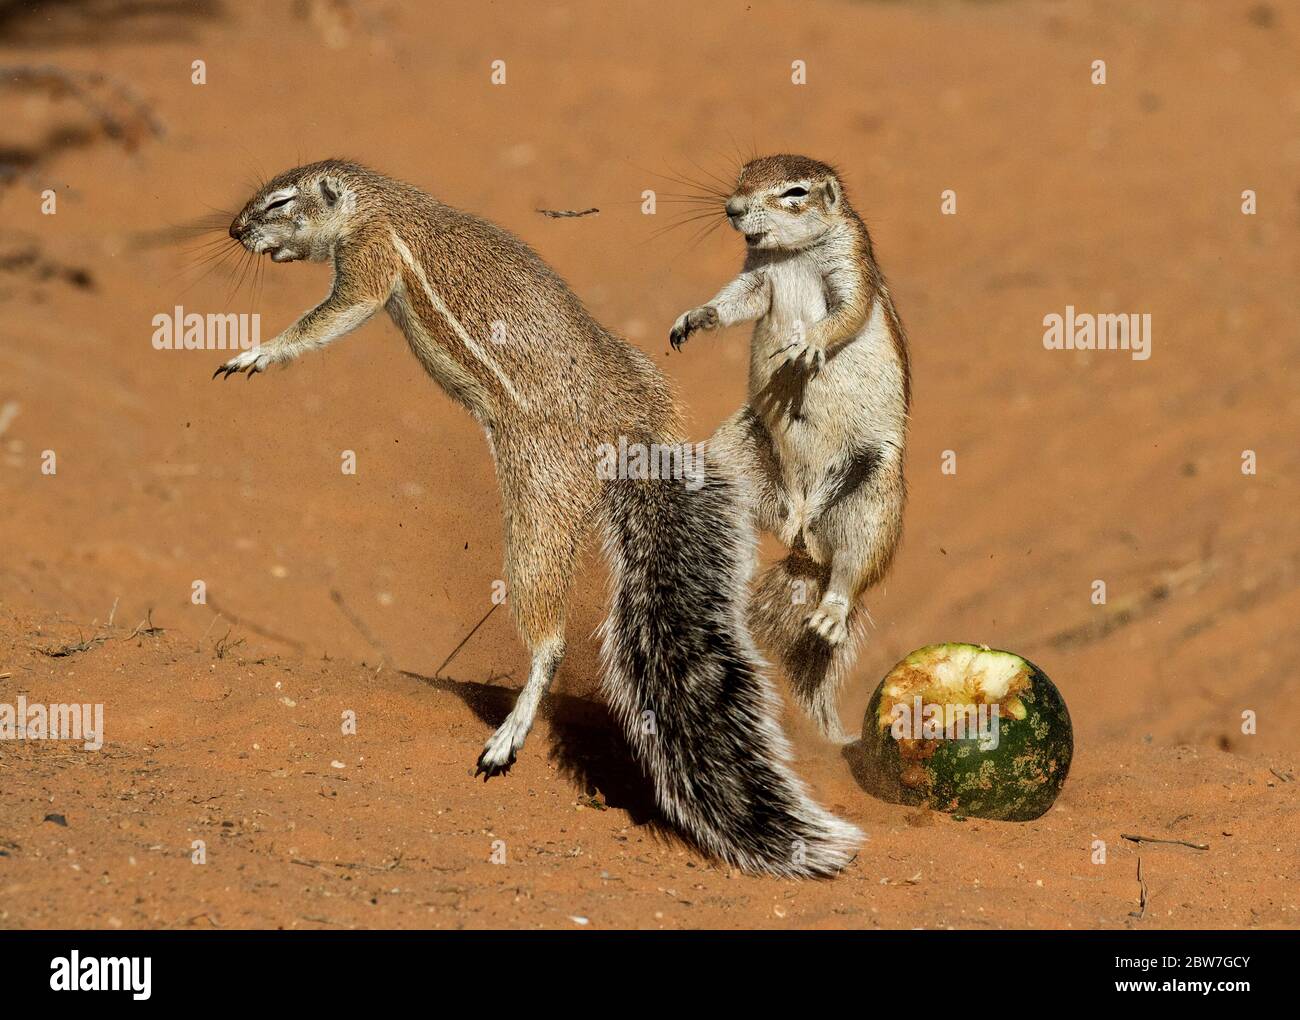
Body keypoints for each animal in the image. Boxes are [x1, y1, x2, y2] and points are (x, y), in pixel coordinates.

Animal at [213, 160, 861, 877]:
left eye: (279, 201)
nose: (235, 230)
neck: (380, 201)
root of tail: (632, 438)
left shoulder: (369, 259)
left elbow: (334, 314)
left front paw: (255, 353)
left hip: (539, 502)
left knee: (548, 638)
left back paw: (507, 737)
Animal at [669, 154, 909, 743]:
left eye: (795, 192)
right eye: (742, 176)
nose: (732, 209)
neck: (789, 254)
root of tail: (804, 535)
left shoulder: (851, 265)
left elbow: (846, 311)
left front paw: (808, 344)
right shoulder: (757, 279)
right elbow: (734, 302)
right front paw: (694, 319)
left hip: (871, 496)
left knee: (852, 568)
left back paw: (829, 612)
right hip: (736, 451)